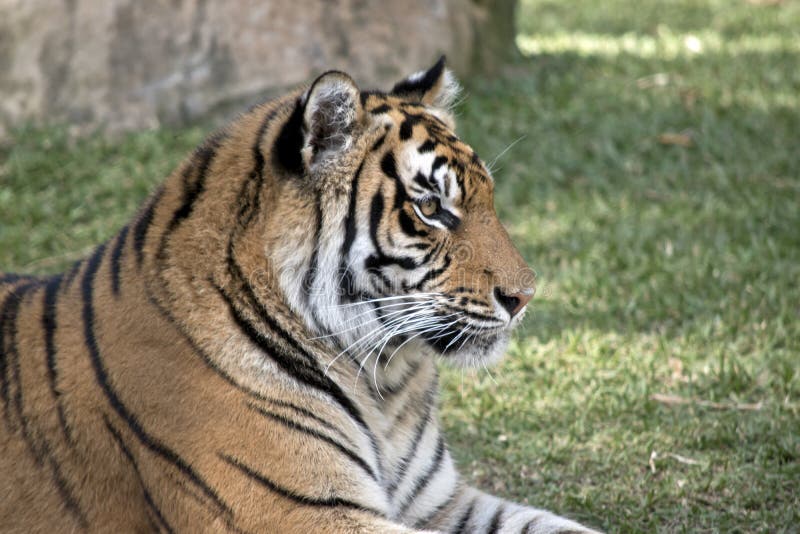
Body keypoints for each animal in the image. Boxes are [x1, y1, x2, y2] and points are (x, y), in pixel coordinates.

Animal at [0, 57, 600, 533]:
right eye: (431, 208)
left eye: (489, 200)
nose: (525, 296)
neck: (386, 386)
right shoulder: (300, 511)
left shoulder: (440, 503)